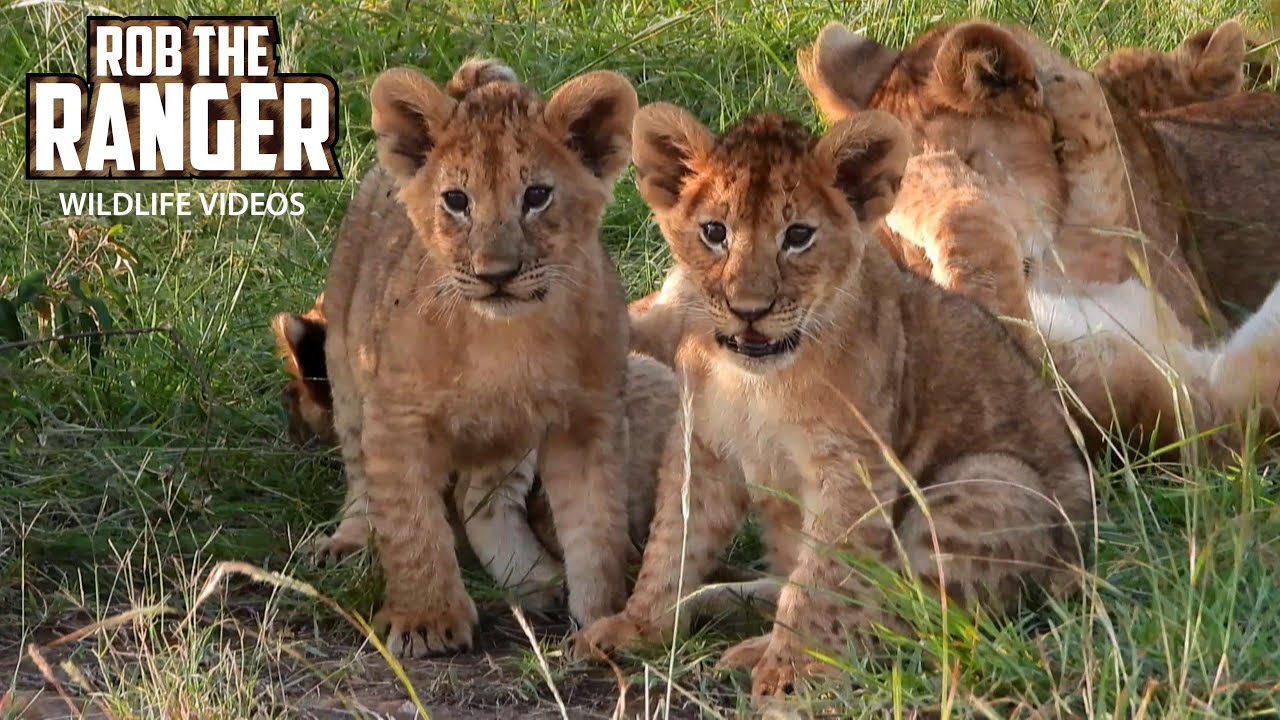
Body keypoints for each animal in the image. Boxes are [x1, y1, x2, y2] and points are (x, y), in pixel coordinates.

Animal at [322, 59, 640, 656]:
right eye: (456, 200)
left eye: (536, 196)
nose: (497, 274)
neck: (506, 339)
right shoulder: (397, 417)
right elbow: (410, 522)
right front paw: (425, 620)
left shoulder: (588, 418)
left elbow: (598, 525)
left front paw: (608, 619)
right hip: (345, 370)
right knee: (360, 479)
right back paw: (346, 541)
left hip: (511, 436)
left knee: (480, 501)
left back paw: (538, 581)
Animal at [573, 107, 1094, 697]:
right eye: (714, 232)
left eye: (798, 236)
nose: (749, 311)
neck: (757, 381)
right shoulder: (701, 447)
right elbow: (672, 544)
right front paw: (635, 626)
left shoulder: (853, 468)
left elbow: (824, 576)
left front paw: (790, 668)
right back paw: (716, 603)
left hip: (992, 478)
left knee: (908, 617)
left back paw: (759, 648)